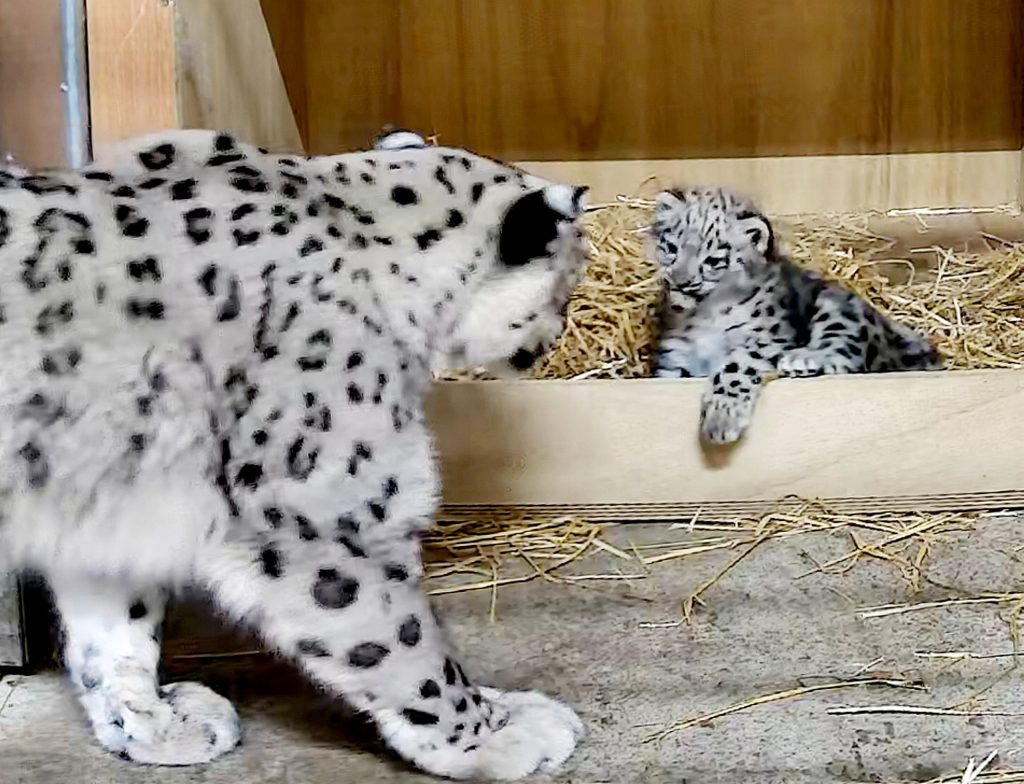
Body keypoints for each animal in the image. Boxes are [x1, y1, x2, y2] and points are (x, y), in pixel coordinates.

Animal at [0, 127, 589, 779]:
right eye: (571, 275)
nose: (554, 336)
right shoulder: (332, 515)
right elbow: (402, 640)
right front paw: (493, 734)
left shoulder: (116, 496)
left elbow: (113, 626)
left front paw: (156, 723)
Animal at [651, 186, 942, 444]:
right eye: (671, 247)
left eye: (713, 260)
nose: (680, 282)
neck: (704, 314)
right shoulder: (675, 357)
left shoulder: (767, 341)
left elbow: (735, 365)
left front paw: (722, 417)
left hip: (836, 309)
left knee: (847, 356)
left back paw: (799, 360)